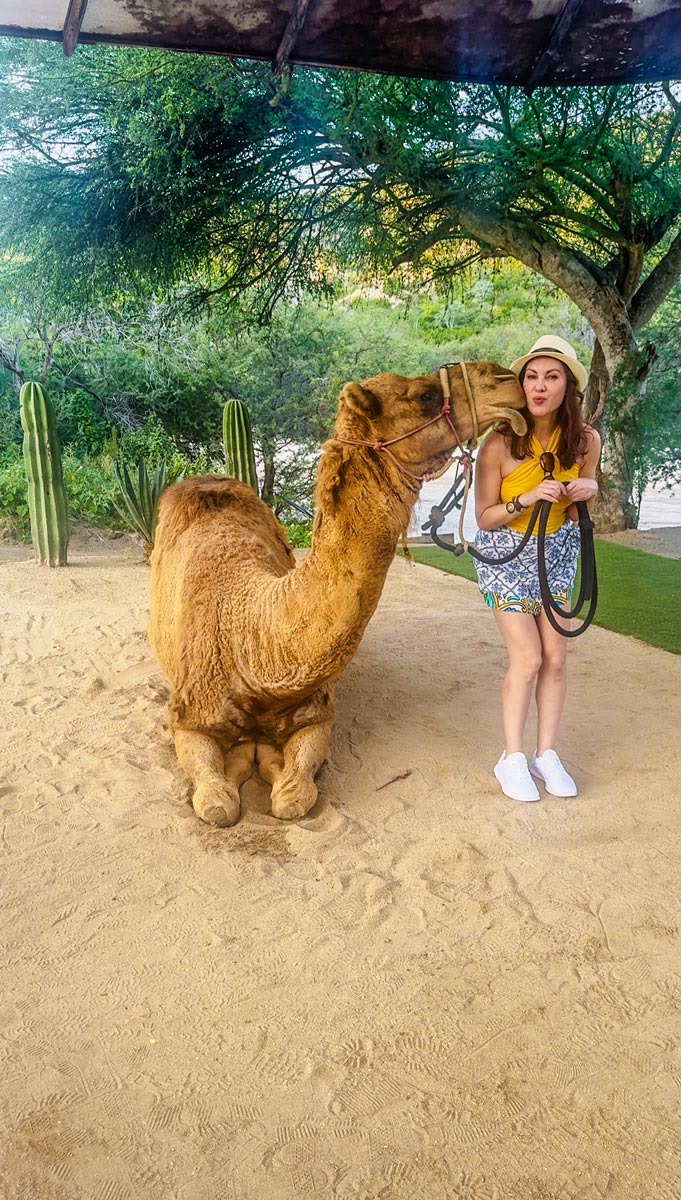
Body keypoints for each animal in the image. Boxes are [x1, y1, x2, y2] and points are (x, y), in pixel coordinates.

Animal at [148, 363, 525, 827]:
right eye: (424, 395)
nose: (507, 379)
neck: (251, 643)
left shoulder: (316, 712)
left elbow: (294, 795)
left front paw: (263, 761)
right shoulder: (189, 717)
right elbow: (215, 802)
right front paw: (237, 765)